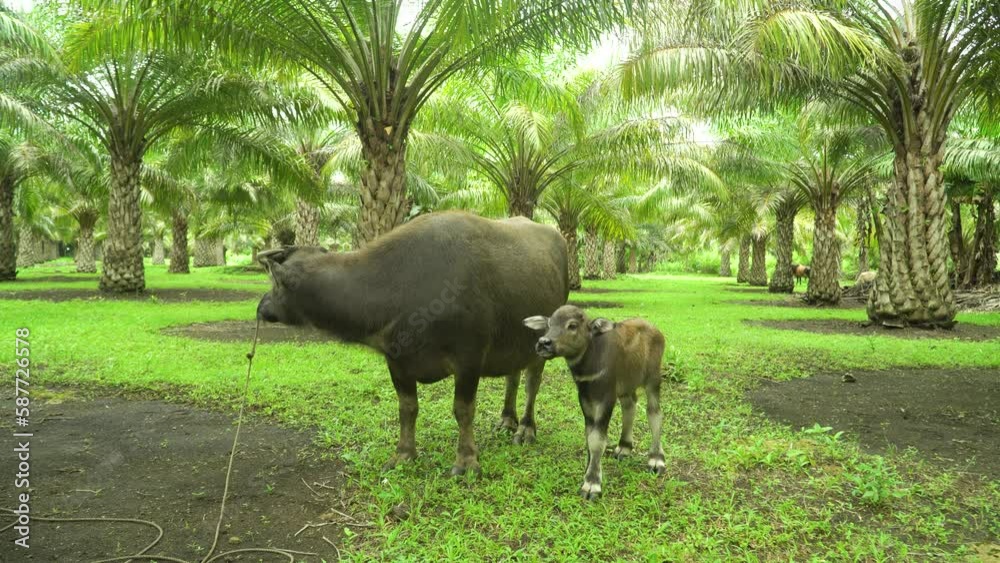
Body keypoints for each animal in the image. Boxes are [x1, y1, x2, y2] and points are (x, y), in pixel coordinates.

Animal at [256, 211, 568, 476]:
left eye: (274, 284)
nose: (261, 306)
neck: (400, 286)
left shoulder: (469, 358)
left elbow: (463, 410)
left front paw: (466, 461)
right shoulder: (397, 361)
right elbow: (407, 408)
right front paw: (403, 454)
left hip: (540, 342)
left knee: (532, 383)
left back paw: (525, 428)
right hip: (513, 341)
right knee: (512, 376)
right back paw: (507, 420)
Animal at [524, 305, 666, 500]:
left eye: (572, 325)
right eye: (549, 324)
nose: (543, 343)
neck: (590, 363)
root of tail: (657, 332)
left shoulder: (606, 398)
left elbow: (597, 439)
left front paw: (592, 484)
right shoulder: (585, 398)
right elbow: (589, 437)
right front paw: (588, 473)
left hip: (653, 379)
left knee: (654, 413)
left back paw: (656, 460)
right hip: (626, 387)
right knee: (630, 407)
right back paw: (624, 447)